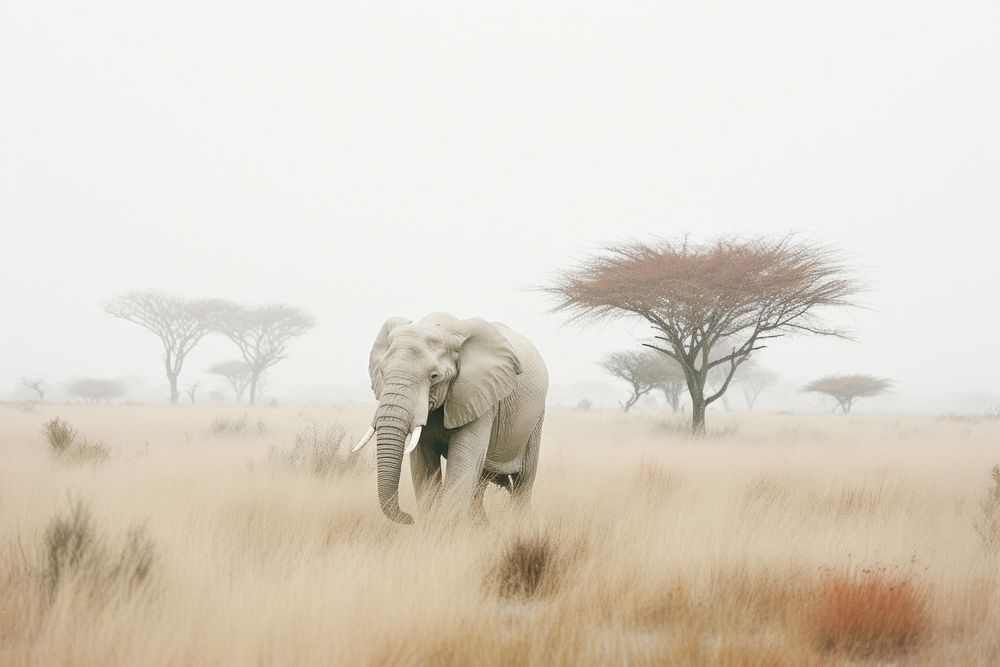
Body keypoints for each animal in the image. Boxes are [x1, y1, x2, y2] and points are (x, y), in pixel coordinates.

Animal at [353, 312, 548, 524]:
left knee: (523, 481)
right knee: (480, 482)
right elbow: (423, 467)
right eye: (382, 371)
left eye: (434, 377)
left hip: (536, 420)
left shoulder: (480, 395)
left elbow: (462, 463)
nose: (409, 518)